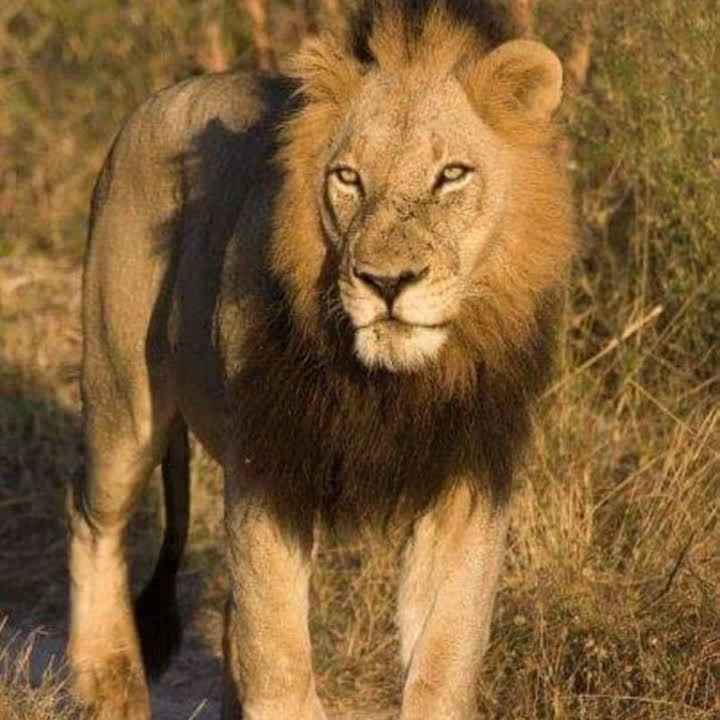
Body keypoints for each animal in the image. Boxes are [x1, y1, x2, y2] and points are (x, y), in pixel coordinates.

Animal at [67, 0, 575, 718]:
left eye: (451, 175)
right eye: (348, 178)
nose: (387, 282)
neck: (391, 382)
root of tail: (161, 96)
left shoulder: (465, 481)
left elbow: (443, 660)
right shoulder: (266, 468)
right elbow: (278, 655)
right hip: (124, 401)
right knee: (90, 518)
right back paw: (108, 686)